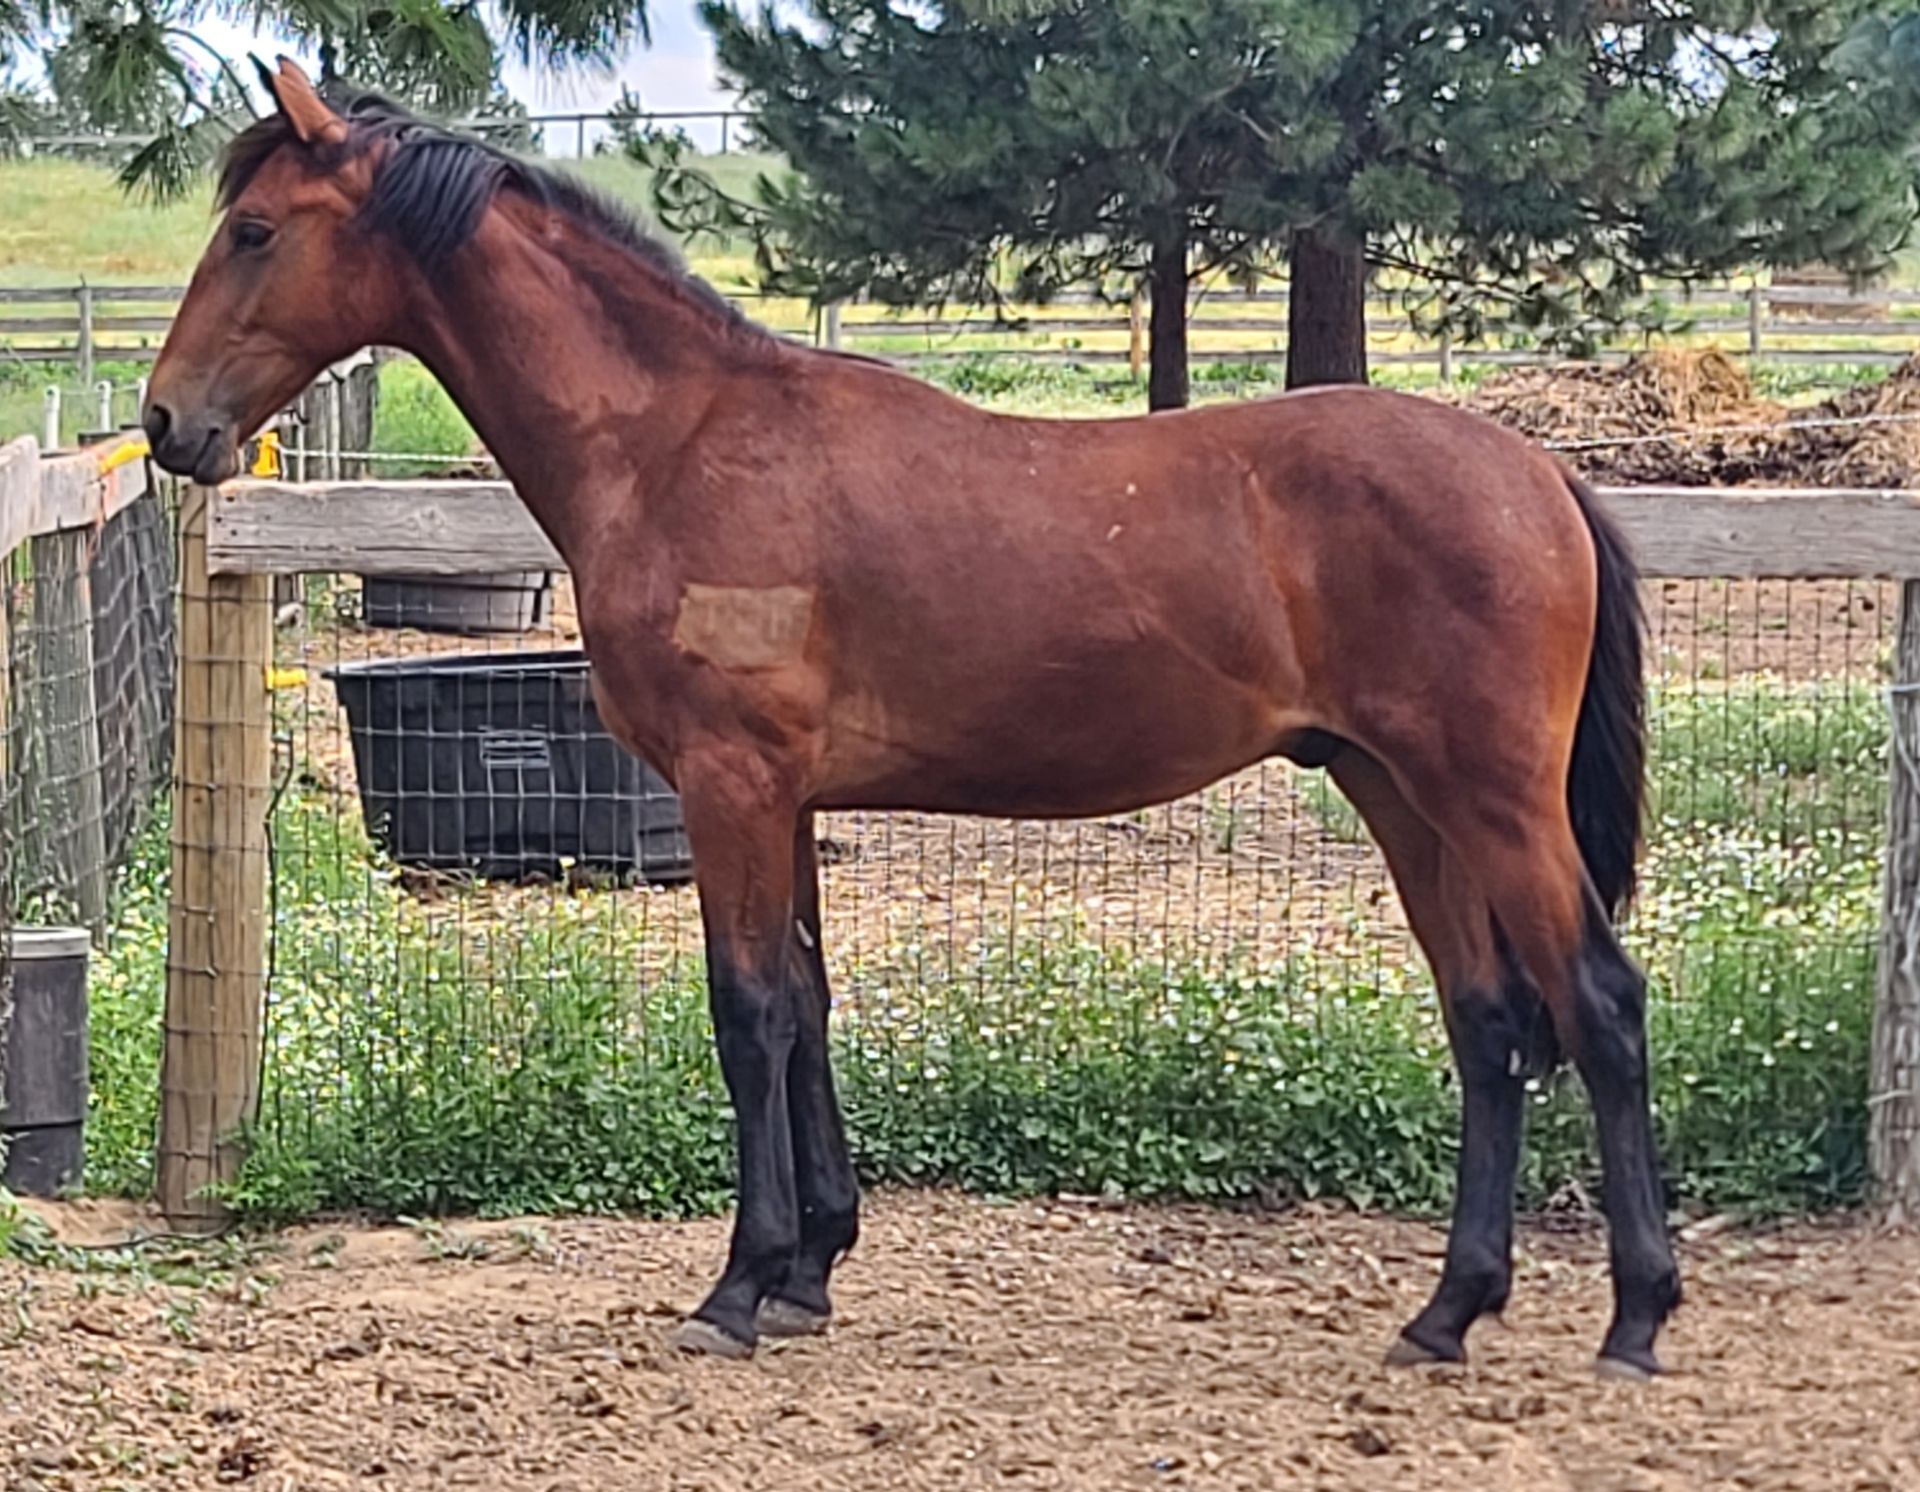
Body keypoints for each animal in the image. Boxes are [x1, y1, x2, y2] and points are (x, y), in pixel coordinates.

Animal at [143, 58, 1680, 1379]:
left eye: (259, 232)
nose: (167, 424)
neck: (679, 439)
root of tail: (1538, 473)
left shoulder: (731, 784)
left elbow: (749, 1011)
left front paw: (739, 1282)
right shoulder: (787, 800)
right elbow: (809, 1003)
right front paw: (812, 1268)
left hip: (1491, 799)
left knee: (1598, 1005)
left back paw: (1635, 1318)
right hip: (1398, 792)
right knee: (1489, 1022)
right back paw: (1449, 1310)